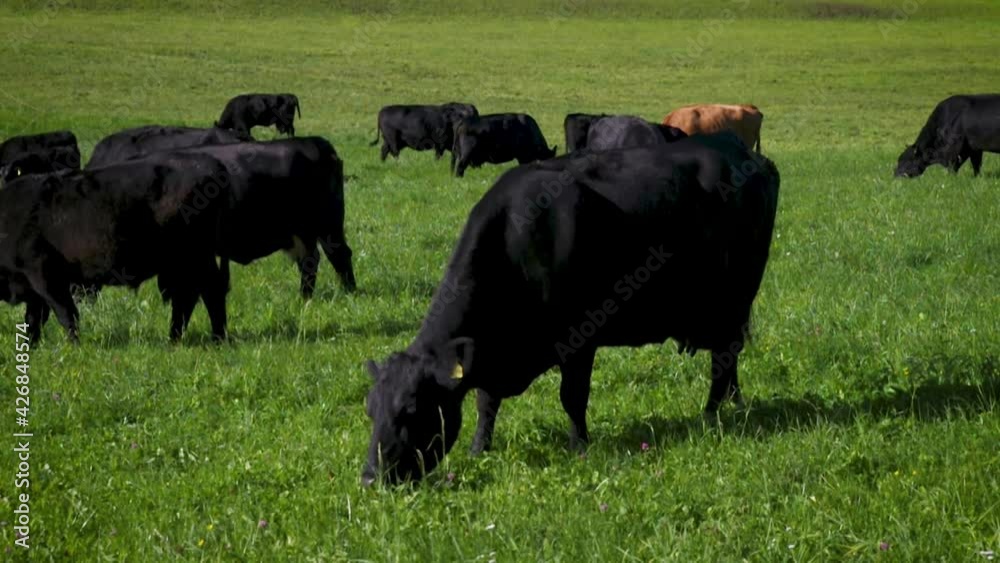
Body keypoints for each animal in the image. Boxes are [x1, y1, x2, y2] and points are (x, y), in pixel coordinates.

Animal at [0, 152, 231, 344]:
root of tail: (211, 163)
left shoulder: (43, 274)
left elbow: (65, 313)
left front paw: (74, 346)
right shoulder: (33, 285)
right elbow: (34, 318)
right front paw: (31, 346)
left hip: (195, 257)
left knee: (208, 292)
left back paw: (216, 339)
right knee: (189, 297)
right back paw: (176, 339)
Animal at [362, 131, 780, 484]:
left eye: (412, 411)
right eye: (370, 410)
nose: (370, 478)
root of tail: (743, 152)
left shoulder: (580, 337)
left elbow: (573, 396)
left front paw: (579, 444)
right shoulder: (490, 354)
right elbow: (485, 402)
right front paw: (480, 447)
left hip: (734, 299)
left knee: (723, 359)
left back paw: (710, 414)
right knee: (728, 359)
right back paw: (734, 403)